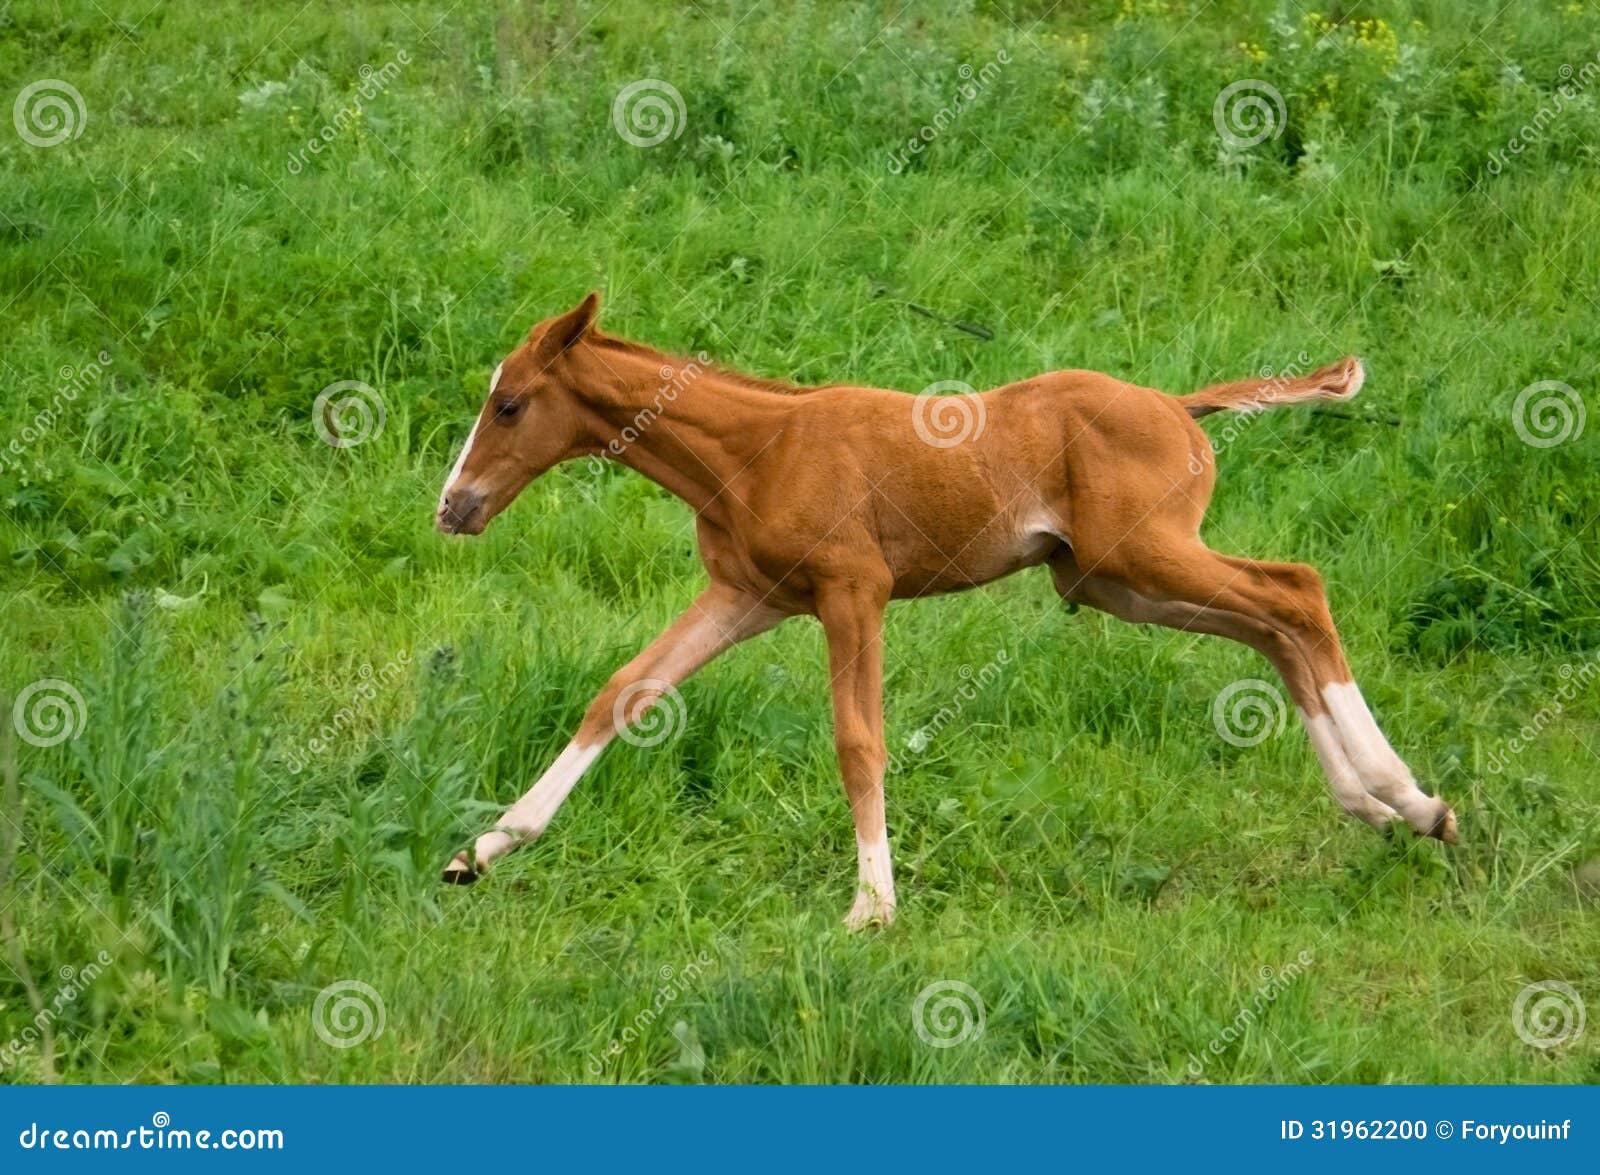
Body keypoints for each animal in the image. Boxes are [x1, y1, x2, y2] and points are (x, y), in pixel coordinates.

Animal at [435, 293, 1456, 928]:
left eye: (511, 403)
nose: (453, 506)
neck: (756, 448)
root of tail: (1177, 404)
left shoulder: (855, 592)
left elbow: (859, 741)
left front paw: (872, 906)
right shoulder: (746, 597)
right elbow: (624, 692)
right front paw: (483, 848)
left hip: (1146, 555)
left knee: (1296, 591)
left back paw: (1410, 797)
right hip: (1110, 581)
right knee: (1272, 627)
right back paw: (1384, 809)